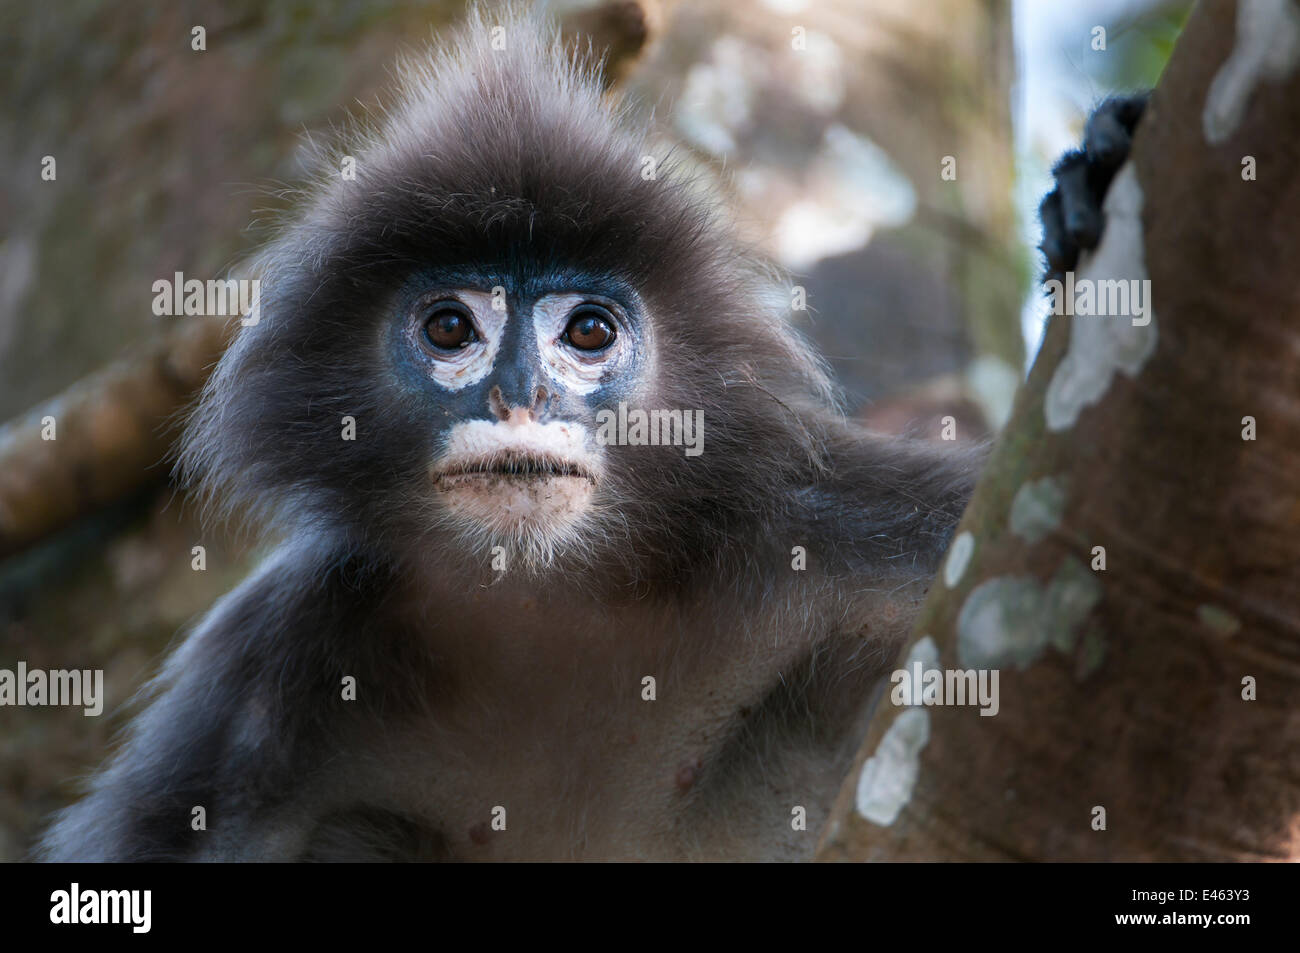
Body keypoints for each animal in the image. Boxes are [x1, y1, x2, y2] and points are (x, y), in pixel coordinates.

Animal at [37, 8, 1142, 862]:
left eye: (589, 332)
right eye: (450, 328)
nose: (520, 394)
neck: (556, 595)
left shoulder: (847, 527)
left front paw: (1091, 179)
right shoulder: (271, 665)